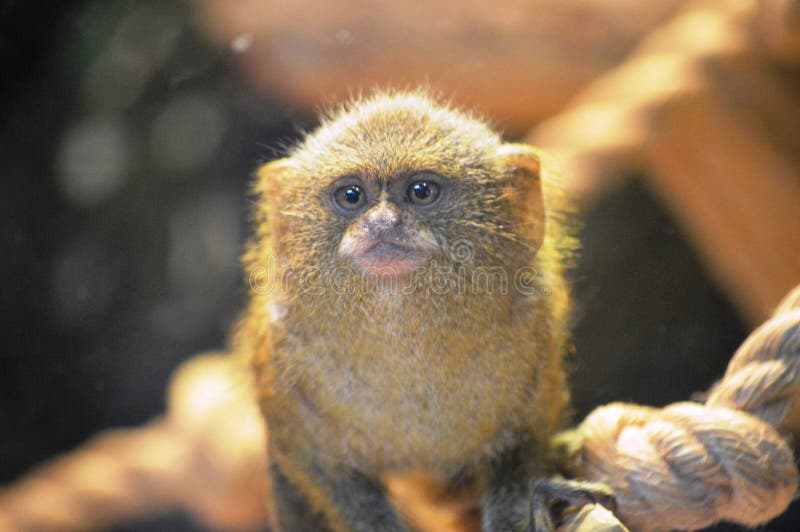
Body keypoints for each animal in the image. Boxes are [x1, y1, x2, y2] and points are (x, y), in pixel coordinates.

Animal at [234, 90, 613, 531]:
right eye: (351, 196)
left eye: (420, 191)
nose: (383, 222)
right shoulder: (285, 378)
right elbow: (325, 475)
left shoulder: (536, 345)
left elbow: (520, 454)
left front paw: (527, 507)